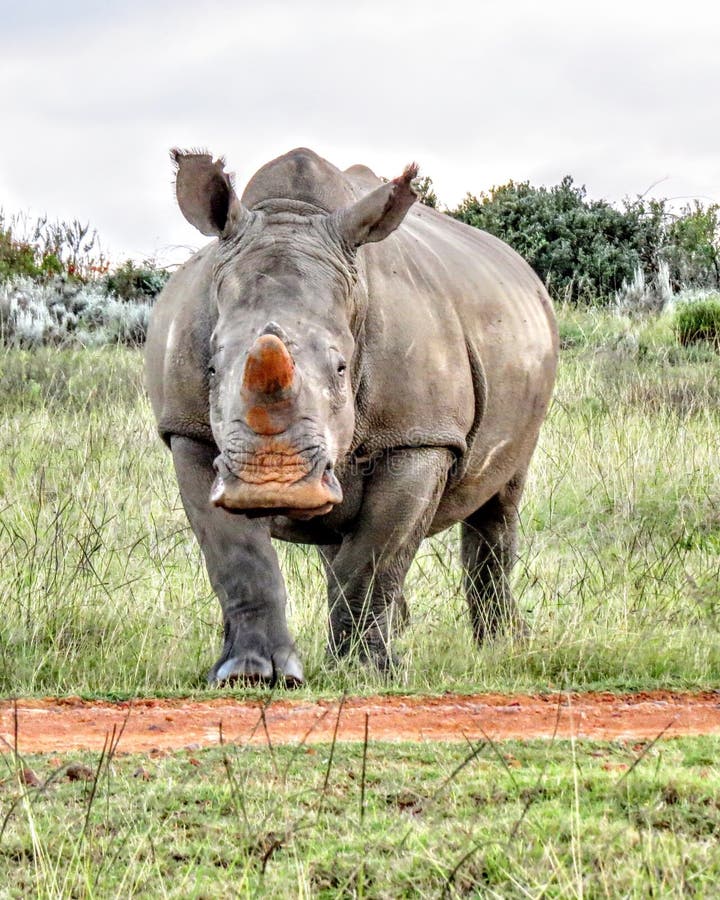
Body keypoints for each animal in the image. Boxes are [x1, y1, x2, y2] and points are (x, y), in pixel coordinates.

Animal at [145, 147, 558, 685]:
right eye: (212, 368)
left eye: (342, 368)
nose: (270, 485)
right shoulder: (189, 431)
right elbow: (238, 558)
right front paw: (250, 675)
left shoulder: (420, 436)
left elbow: (375, 556)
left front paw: (369, 673)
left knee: (500, 499)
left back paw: (501, 647)